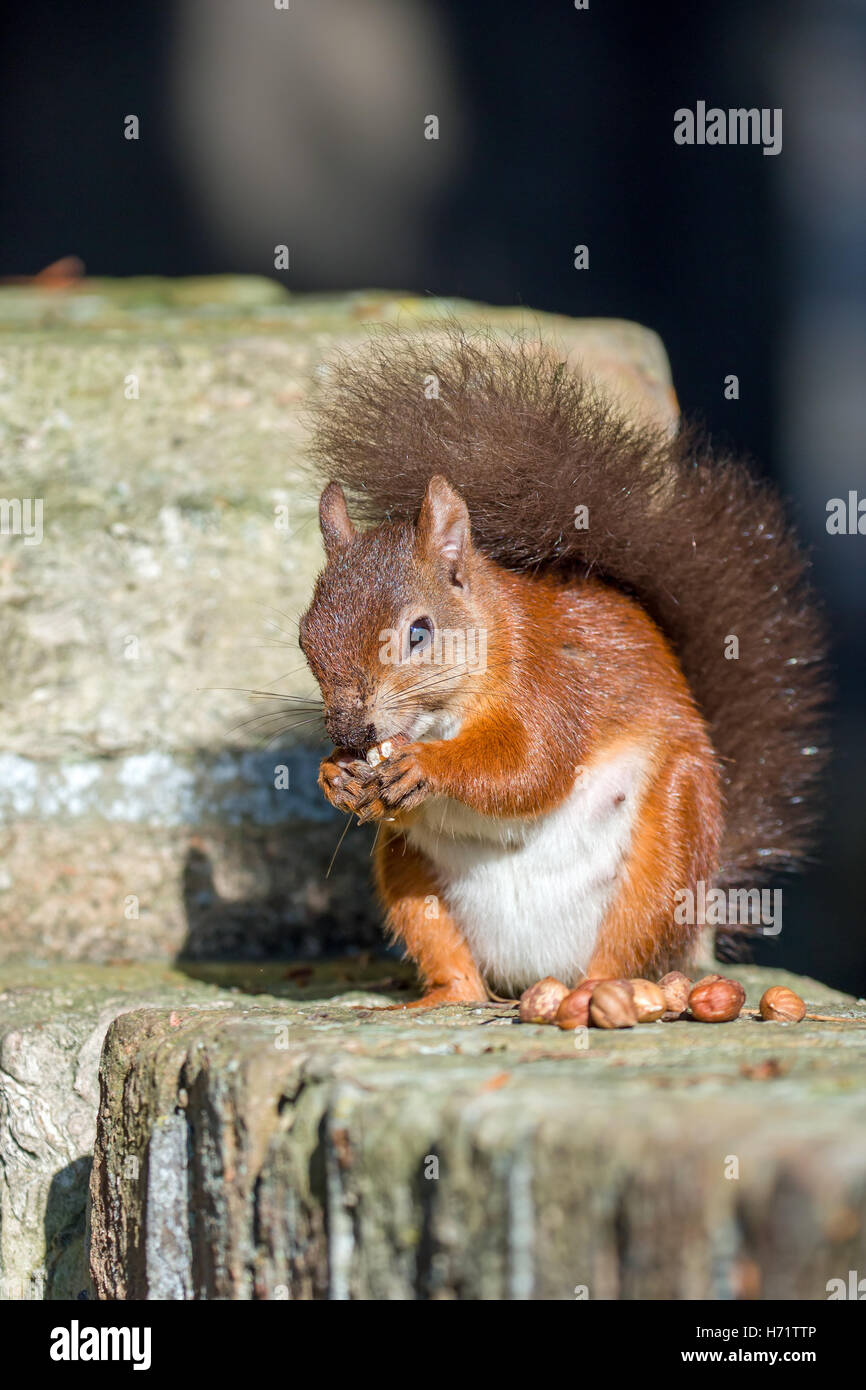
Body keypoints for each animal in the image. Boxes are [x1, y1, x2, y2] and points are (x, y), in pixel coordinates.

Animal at [298, 327, 826, 1007]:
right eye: (305, 639)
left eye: (419, 632)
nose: (350, 733)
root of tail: (537, 970)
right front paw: (335, 776)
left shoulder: (551, 681)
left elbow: (532, 766)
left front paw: (427, 767)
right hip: (409, 873)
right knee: (452, 958)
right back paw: (447, 995)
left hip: (669, 845)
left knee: (626, 944)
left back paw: (598, 994)